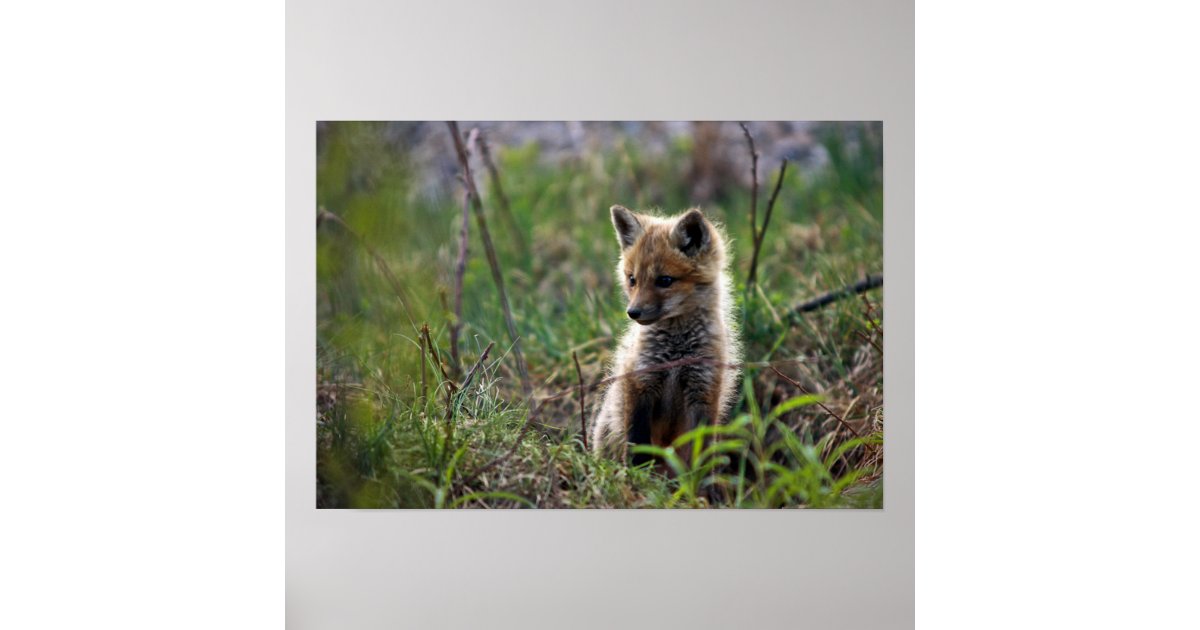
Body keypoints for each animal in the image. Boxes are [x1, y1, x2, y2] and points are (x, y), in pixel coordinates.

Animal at [591, 205, 741, 464]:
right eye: (632, 279)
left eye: (665, 280)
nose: (633, 312)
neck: (676, 352)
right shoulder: (640, 380)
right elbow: (637, 442)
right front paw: (636, 473)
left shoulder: (704, 389)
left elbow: (701, 451)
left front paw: (699, 477)